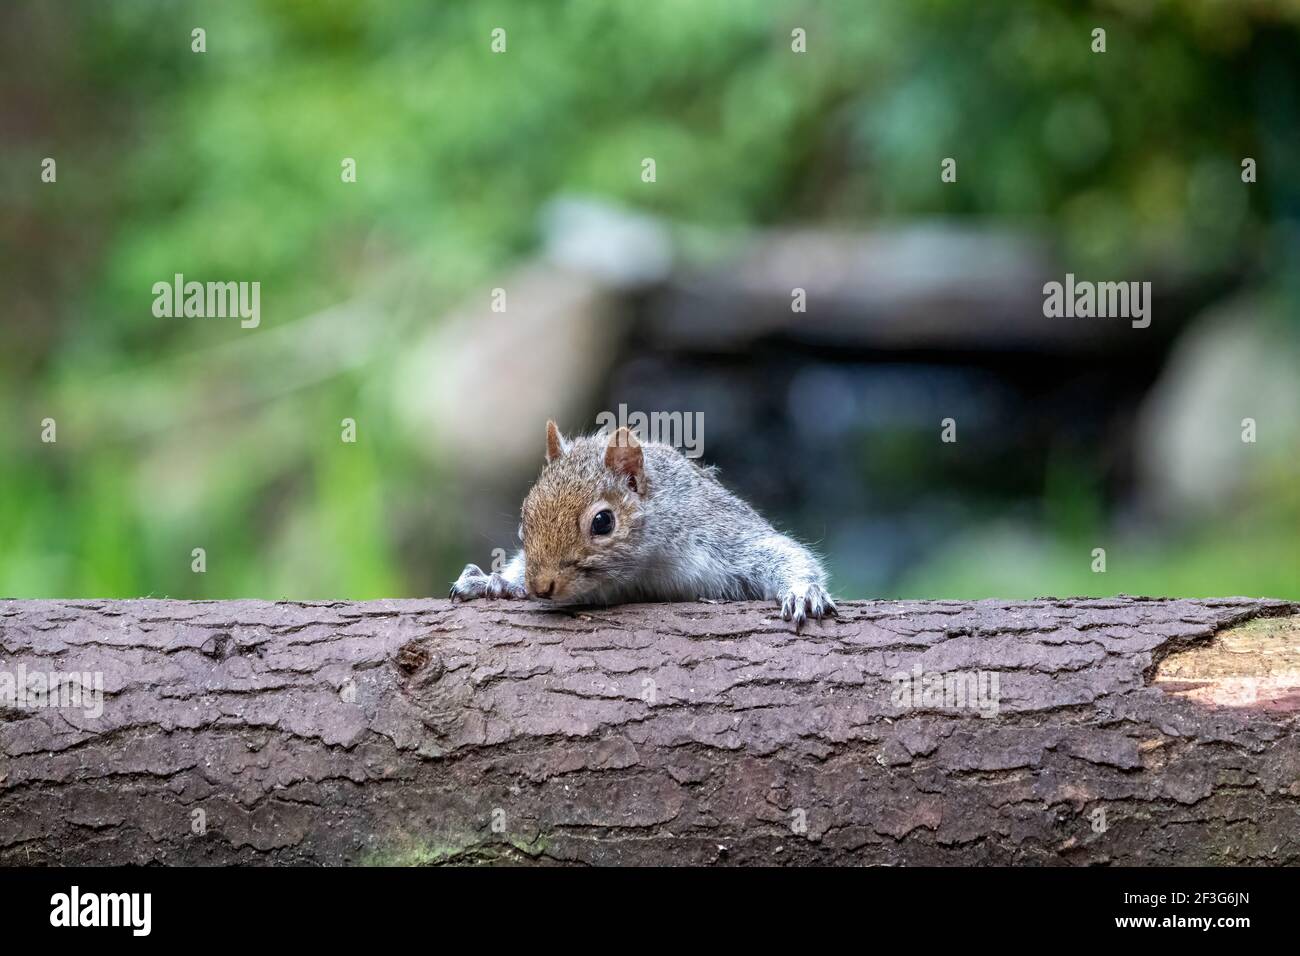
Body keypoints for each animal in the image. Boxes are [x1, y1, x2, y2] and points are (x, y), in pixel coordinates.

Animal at [449, 420, 836, 631]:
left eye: (603, 522)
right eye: (524, 516)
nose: (541, 587)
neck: (643, 570)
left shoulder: (717, 530)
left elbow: (777, 551)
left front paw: (802, 591)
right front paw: (495, 581)